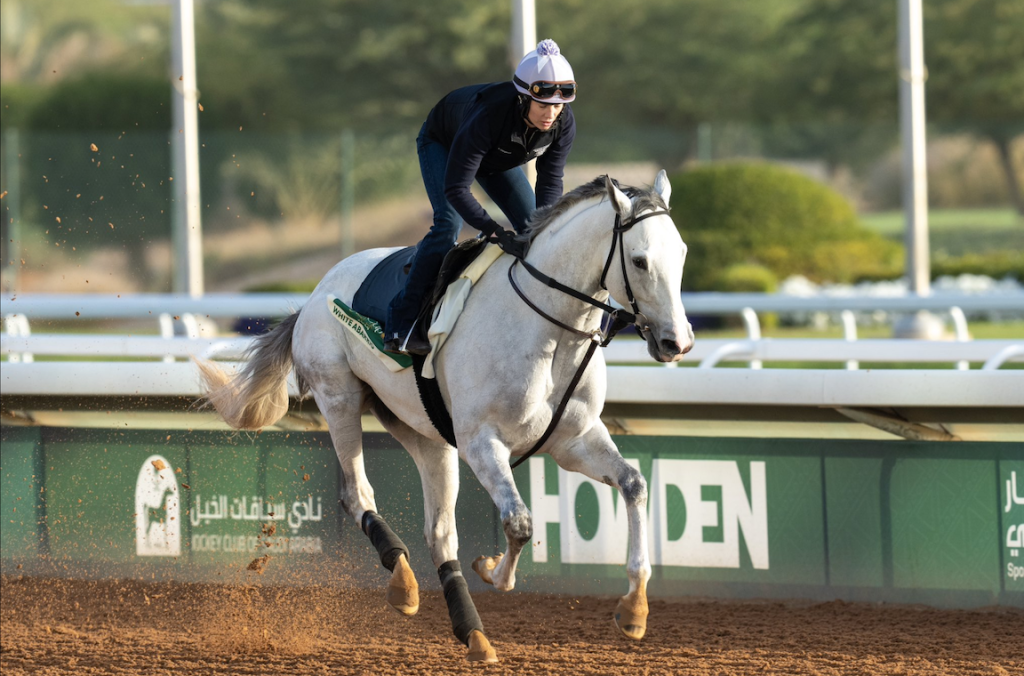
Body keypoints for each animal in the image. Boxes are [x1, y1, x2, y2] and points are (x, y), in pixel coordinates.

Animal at [196, 172, 694, 662]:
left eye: (682, 254)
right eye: (640, 260)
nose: (677, 342)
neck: (547, 329)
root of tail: (314, 296)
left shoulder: (574, 440)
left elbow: (634, 483)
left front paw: (634, 608)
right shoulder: (481, 442)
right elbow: (520, 522)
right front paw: (495, 571)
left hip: (424, 432)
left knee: (438, 532)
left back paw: (471, 633)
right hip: (338, 395)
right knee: (357, 493)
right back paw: (403, 582)